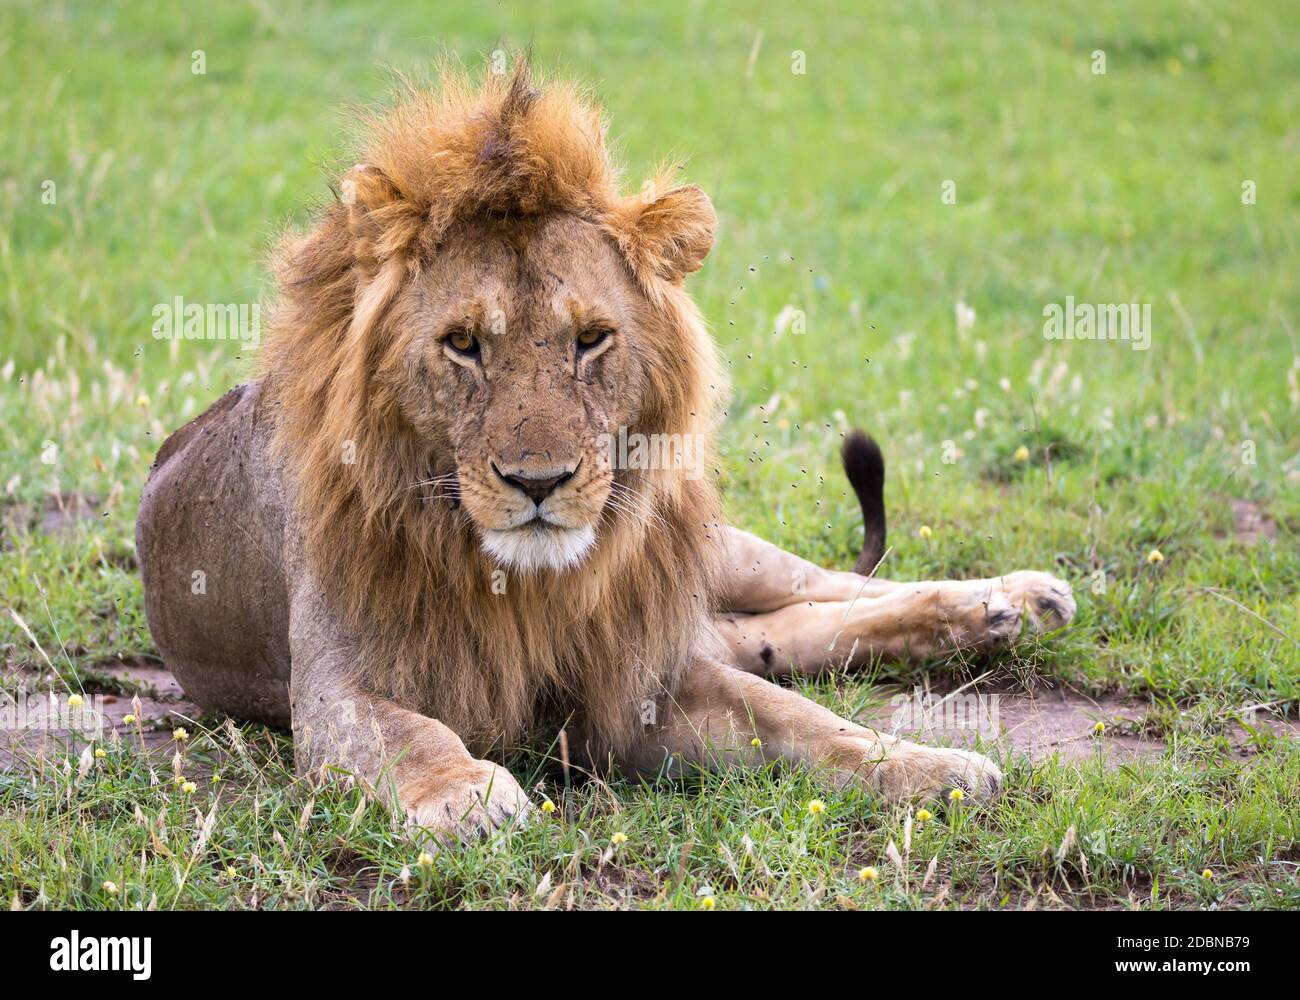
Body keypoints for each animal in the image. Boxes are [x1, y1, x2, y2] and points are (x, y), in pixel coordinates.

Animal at [136, 62, 1074, 843]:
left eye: (590, 339)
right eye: (463, 344)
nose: (538, 482)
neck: (524, 585)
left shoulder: (637, 682)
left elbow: (804, 722)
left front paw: (931, 769)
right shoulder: (336, 685)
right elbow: (405, 733)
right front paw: (464, 795)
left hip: (705, 550)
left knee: (831, 587)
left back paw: (1014, 601)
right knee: (787, 629)